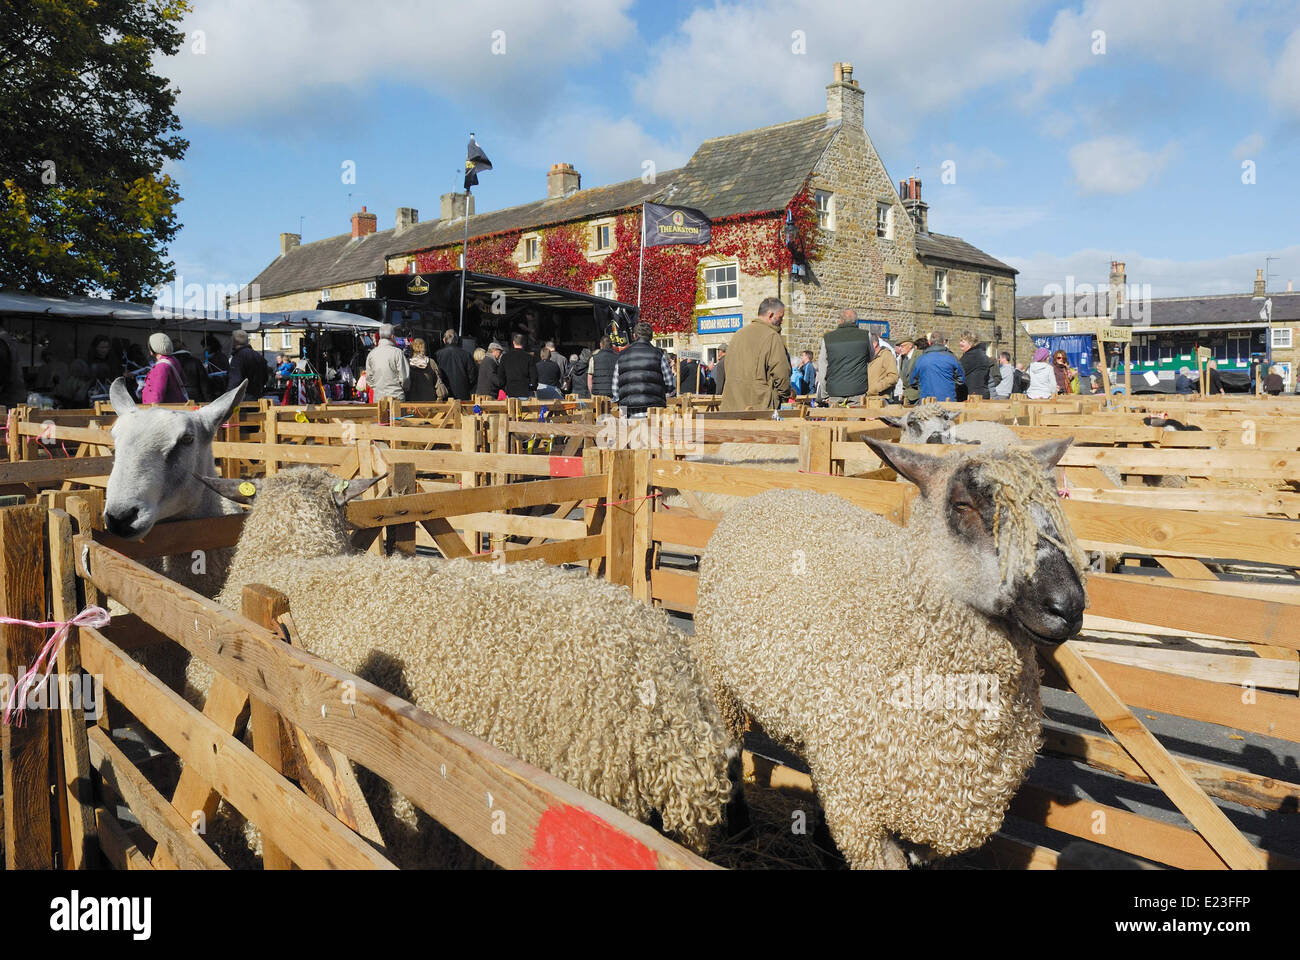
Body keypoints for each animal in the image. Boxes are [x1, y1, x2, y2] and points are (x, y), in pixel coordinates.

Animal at [693, 437, 1087, 869]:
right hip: (717, 677)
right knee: (730, 751)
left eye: (1053, 506)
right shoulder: (867, 818)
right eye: (962, 504)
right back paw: (740, 829)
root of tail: (773, 494)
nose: (1068, 606)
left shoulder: (927, 818)